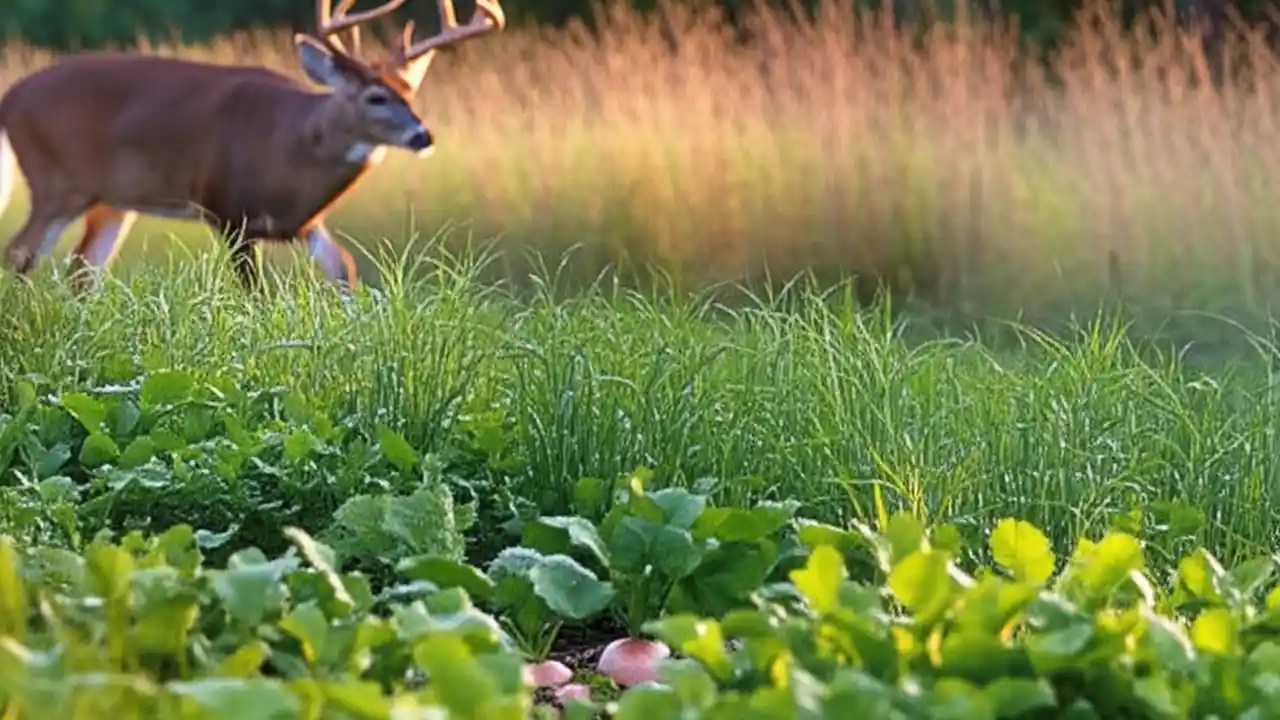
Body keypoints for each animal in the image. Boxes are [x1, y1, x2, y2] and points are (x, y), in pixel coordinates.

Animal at [0, 0, 505, 294]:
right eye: (375, 97)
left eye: (410, 93)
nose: (423, 136)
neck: (288, 150)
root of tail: (10, 98)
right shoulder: (226, 210)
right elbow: (254, 293)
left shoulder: (305, 222)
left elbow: (344, 269)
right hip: (57, 182)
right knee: (21, 253)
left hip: (113, 201)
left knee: (83, 268)